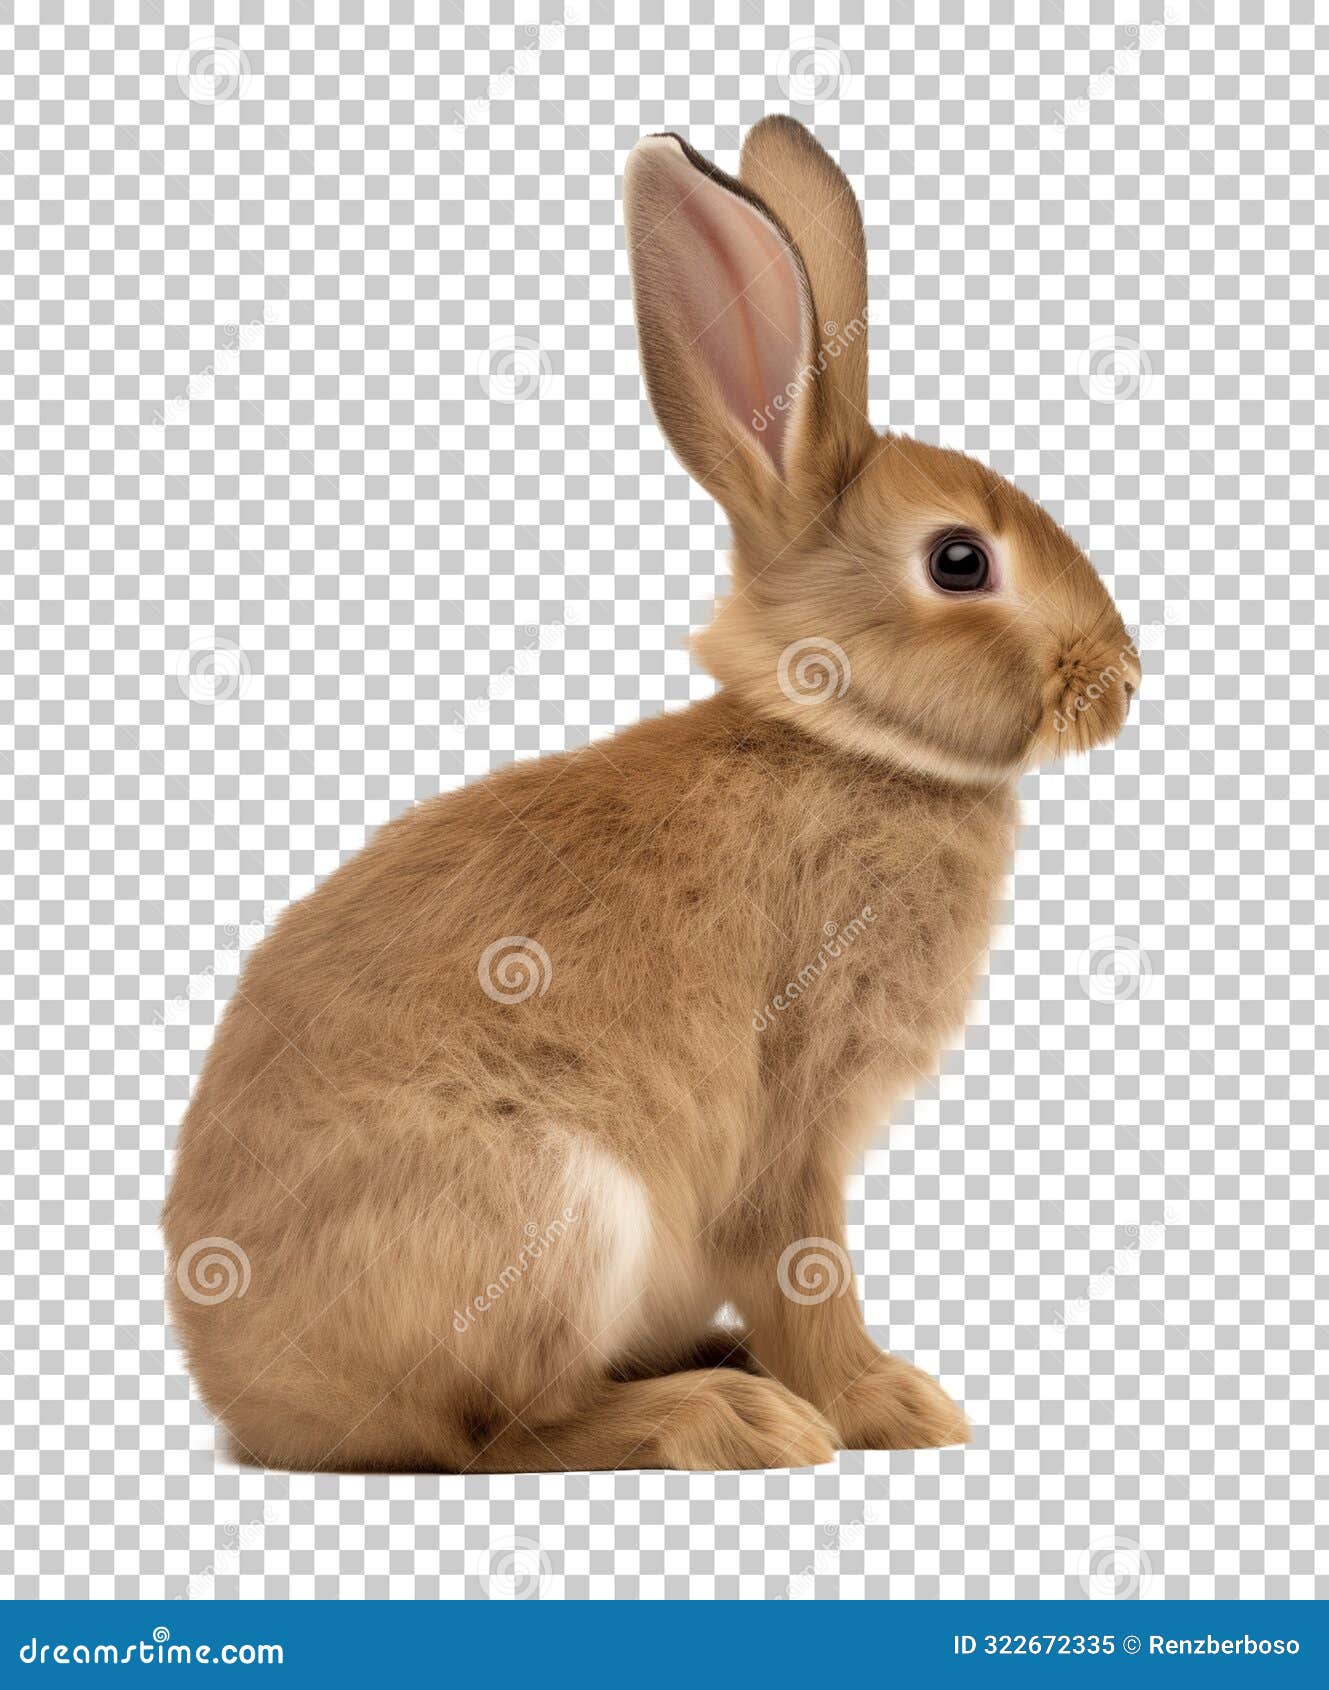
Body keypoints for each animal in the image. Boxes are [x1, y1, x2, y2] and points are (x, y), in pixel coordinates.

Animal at [163, 116, 1140, 1473]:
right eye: (960, 560)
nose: (1121, 682)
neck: (847, 745)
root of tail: (256, 1402)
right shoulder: (794, 1114)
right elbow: (807, 1272)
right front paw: (890, 1406)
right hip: (556, 1204)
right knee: (499, 1429)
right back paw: (727, 1414)